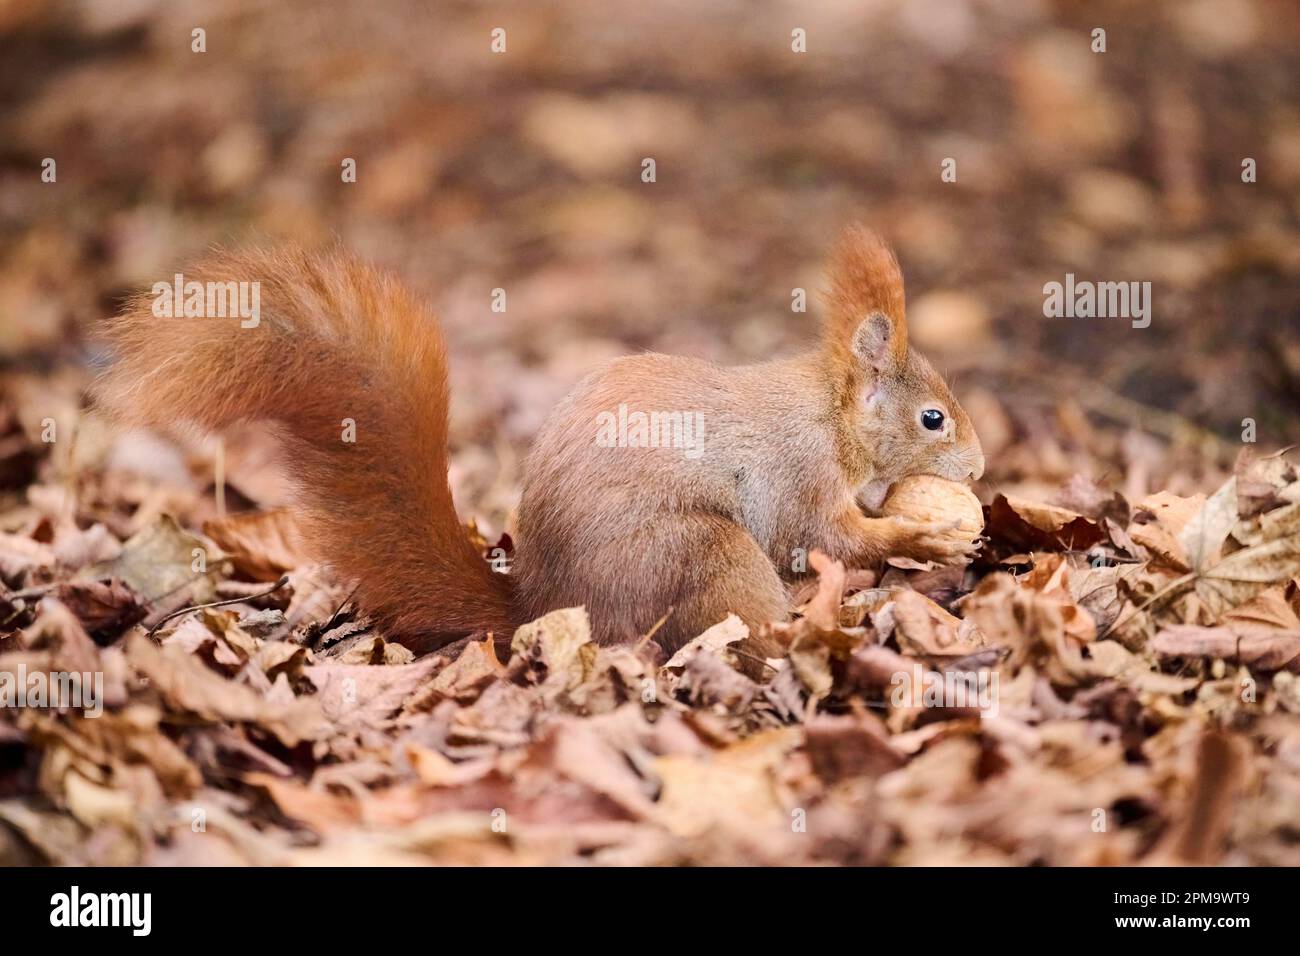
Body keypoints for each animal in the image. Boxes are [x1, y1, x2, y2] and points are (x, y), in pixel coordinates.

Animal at [93, 224, 984, 655]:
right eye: (932, 419)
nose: (978, 467)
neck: (830, 412)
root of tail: (546, 605)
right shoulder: (799, 476)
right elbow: (827, 533)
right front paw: (923, 537)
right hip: (701, 551)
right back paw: (810, 618)